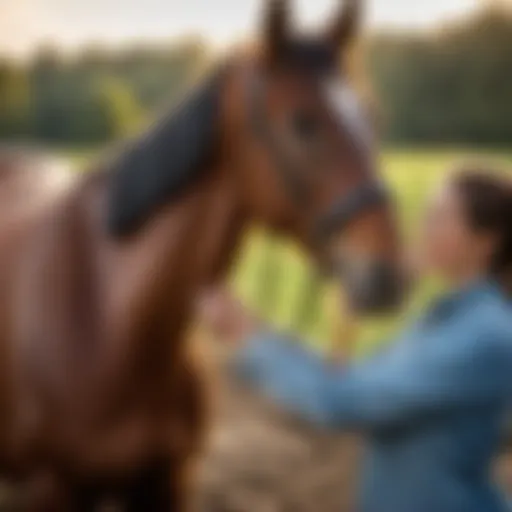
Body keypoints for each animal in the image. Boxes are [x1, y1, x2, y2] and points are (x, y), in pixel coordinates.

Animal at [0, 0, 404, 508]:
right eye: (302, 122)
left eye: (372, 116)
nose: (388, 273)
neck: (108, 320)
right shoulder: (50, 489)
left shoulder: (172, 481)